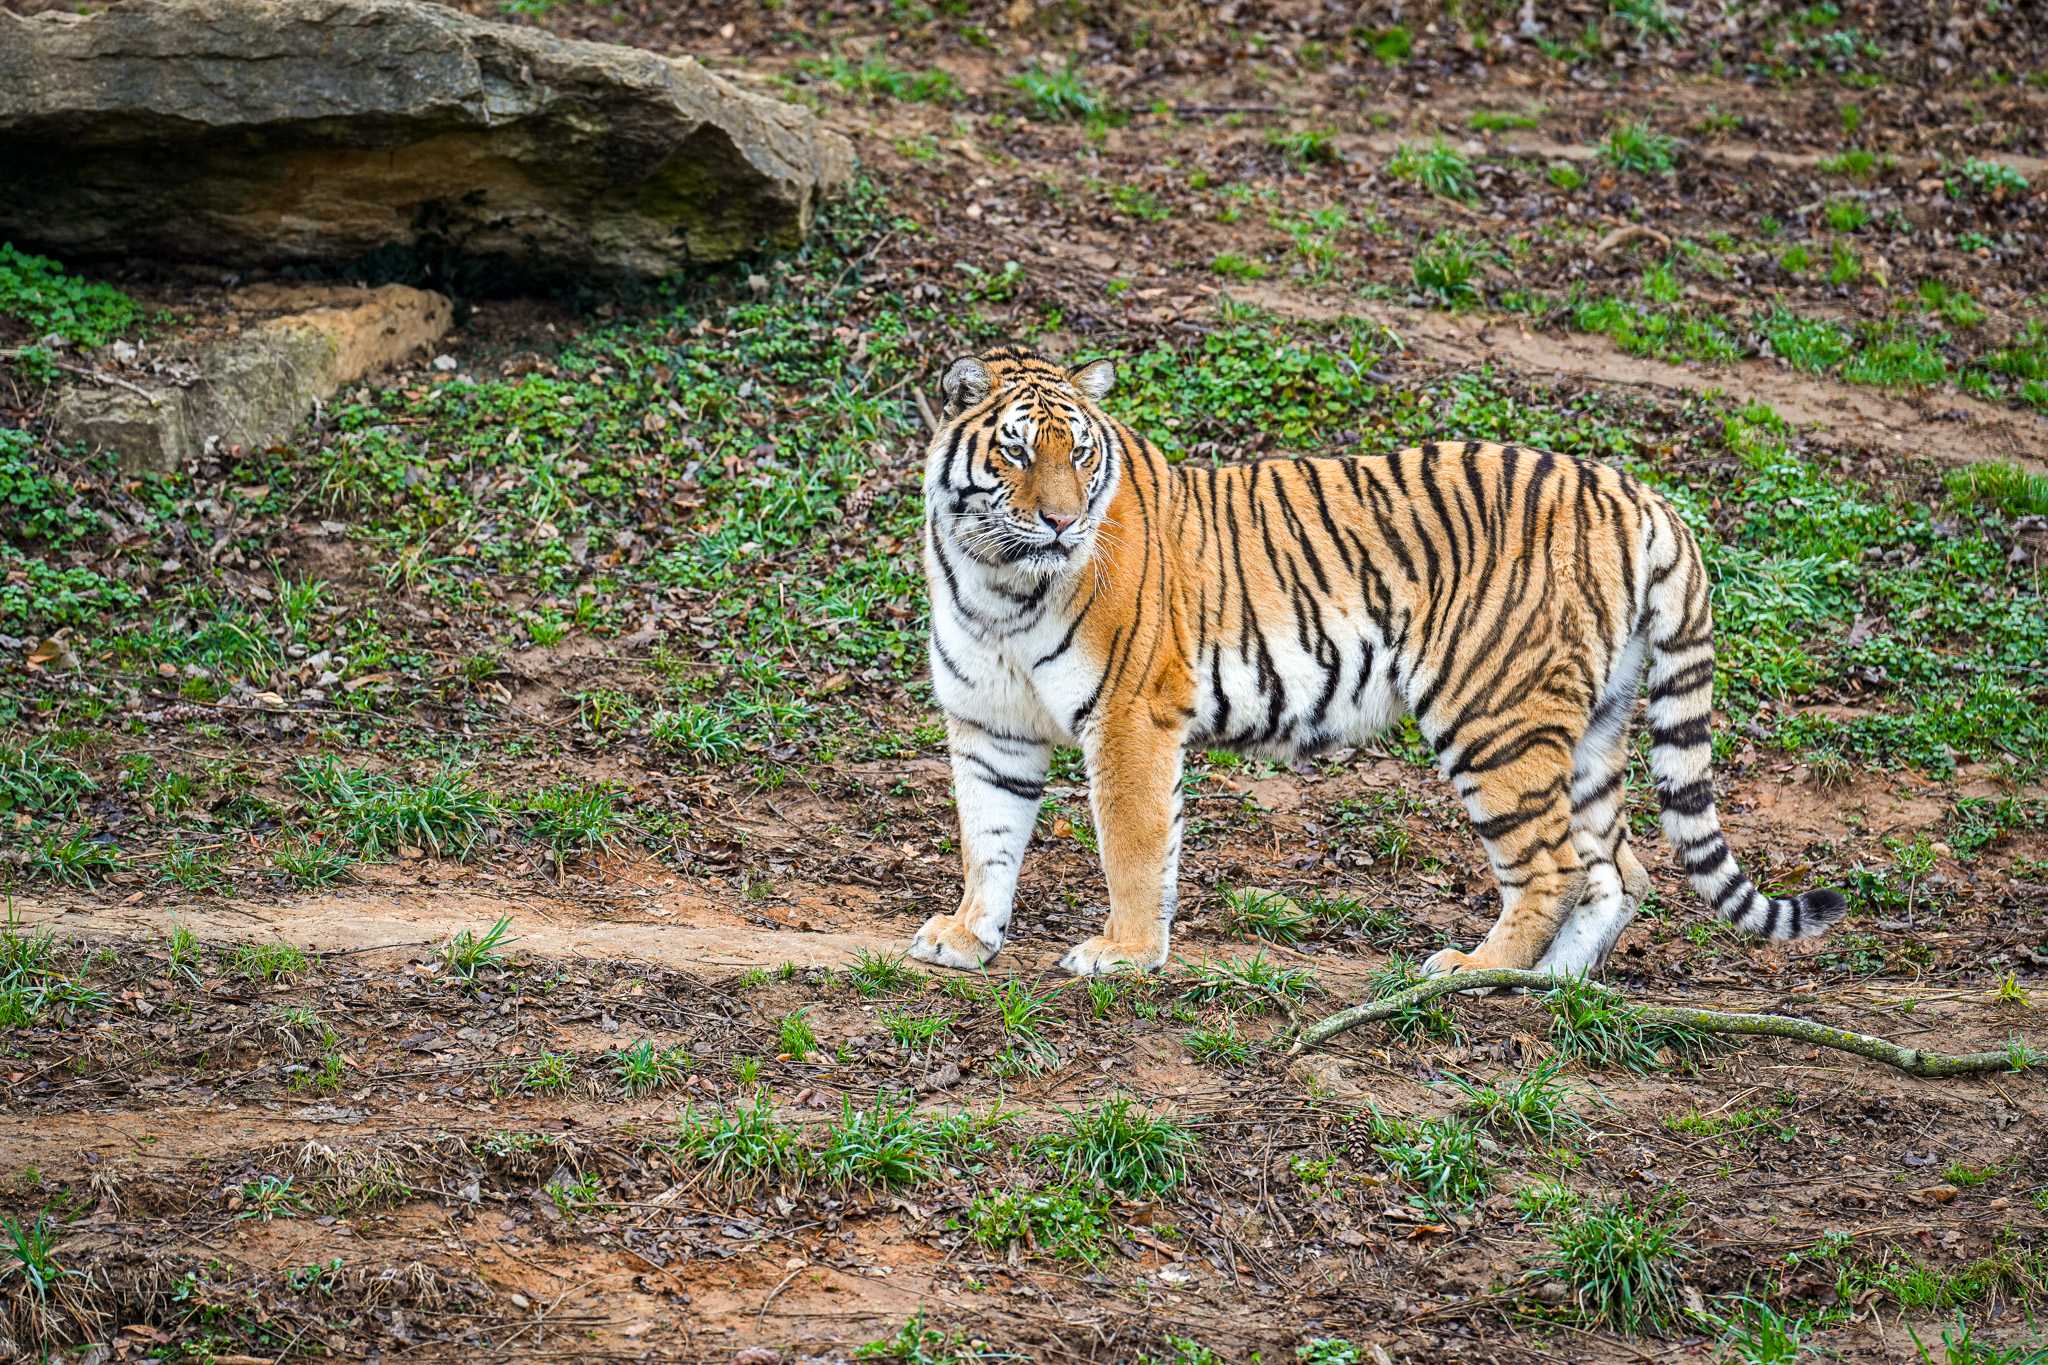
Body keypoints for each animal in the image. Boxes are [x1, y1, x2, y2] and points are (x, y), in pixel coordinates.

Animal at [908, 344, 1846, 978]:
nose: (1063, 522)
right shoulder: (990, 725)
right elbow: (987, 837)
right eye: (1017, 451)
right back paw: (1551, 984)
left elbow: (1133, 846)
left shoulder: (1130, 716)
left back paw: (1476, 971)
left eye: (1080, 452)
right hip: (1595, 723)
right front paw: (966, 935)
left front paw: (1126, 952)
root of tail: (1639, 492)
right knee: (1620, 869)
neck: (997, 581)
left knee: (1556, 865)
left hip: (1495, 714)